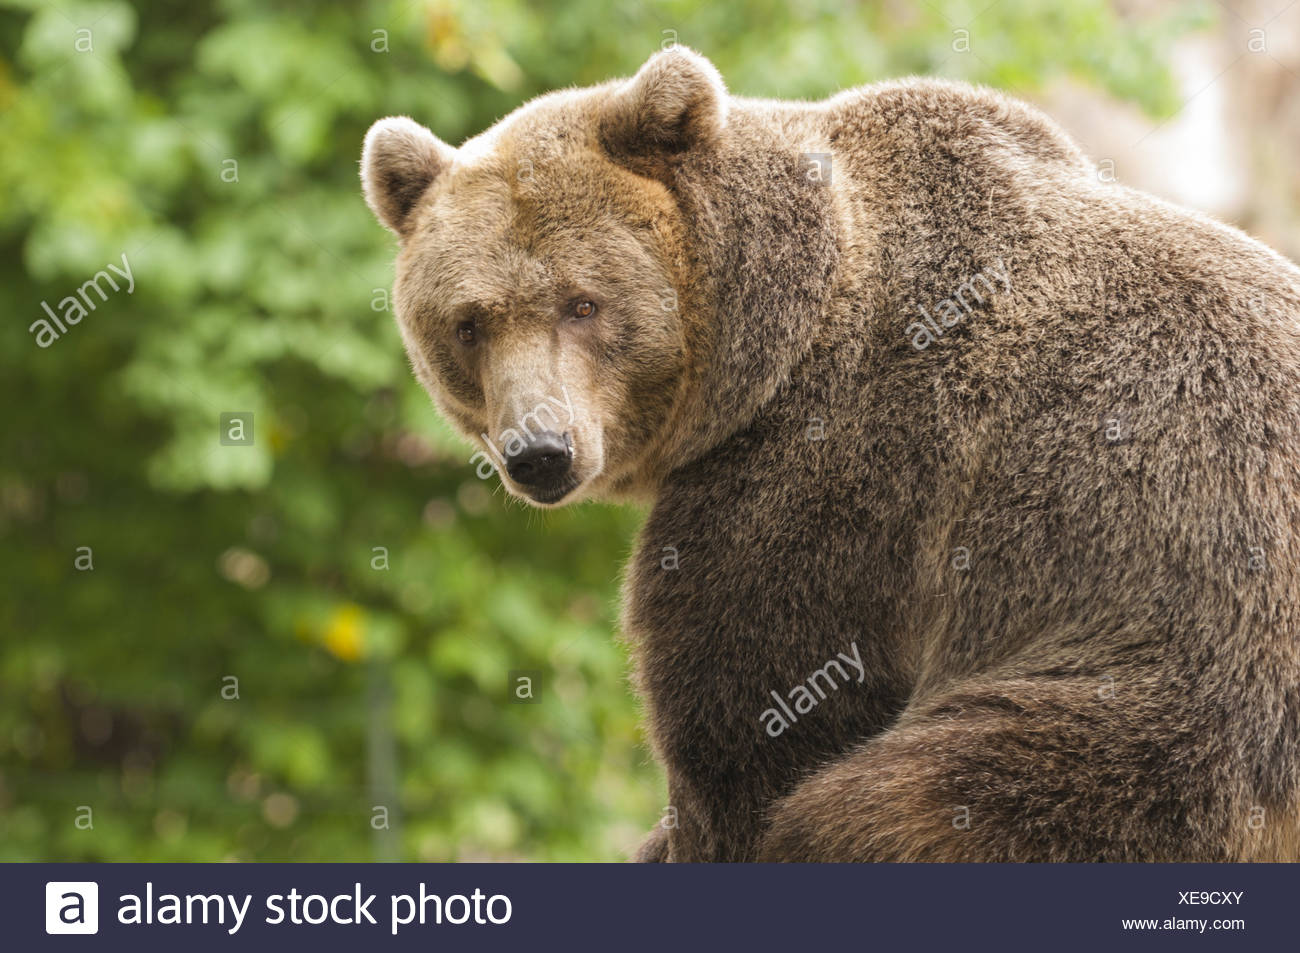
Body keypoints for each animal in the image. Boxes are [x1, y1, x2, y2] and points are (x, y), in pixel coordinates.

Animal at [361, 46, 1300, 862]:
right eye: (469, 322)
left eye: (582, 303)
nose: (540, 452)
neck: (769, 348)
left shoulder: (840, 467)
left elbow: (756, 720)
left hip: (1176, 699)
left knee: (898, 805)